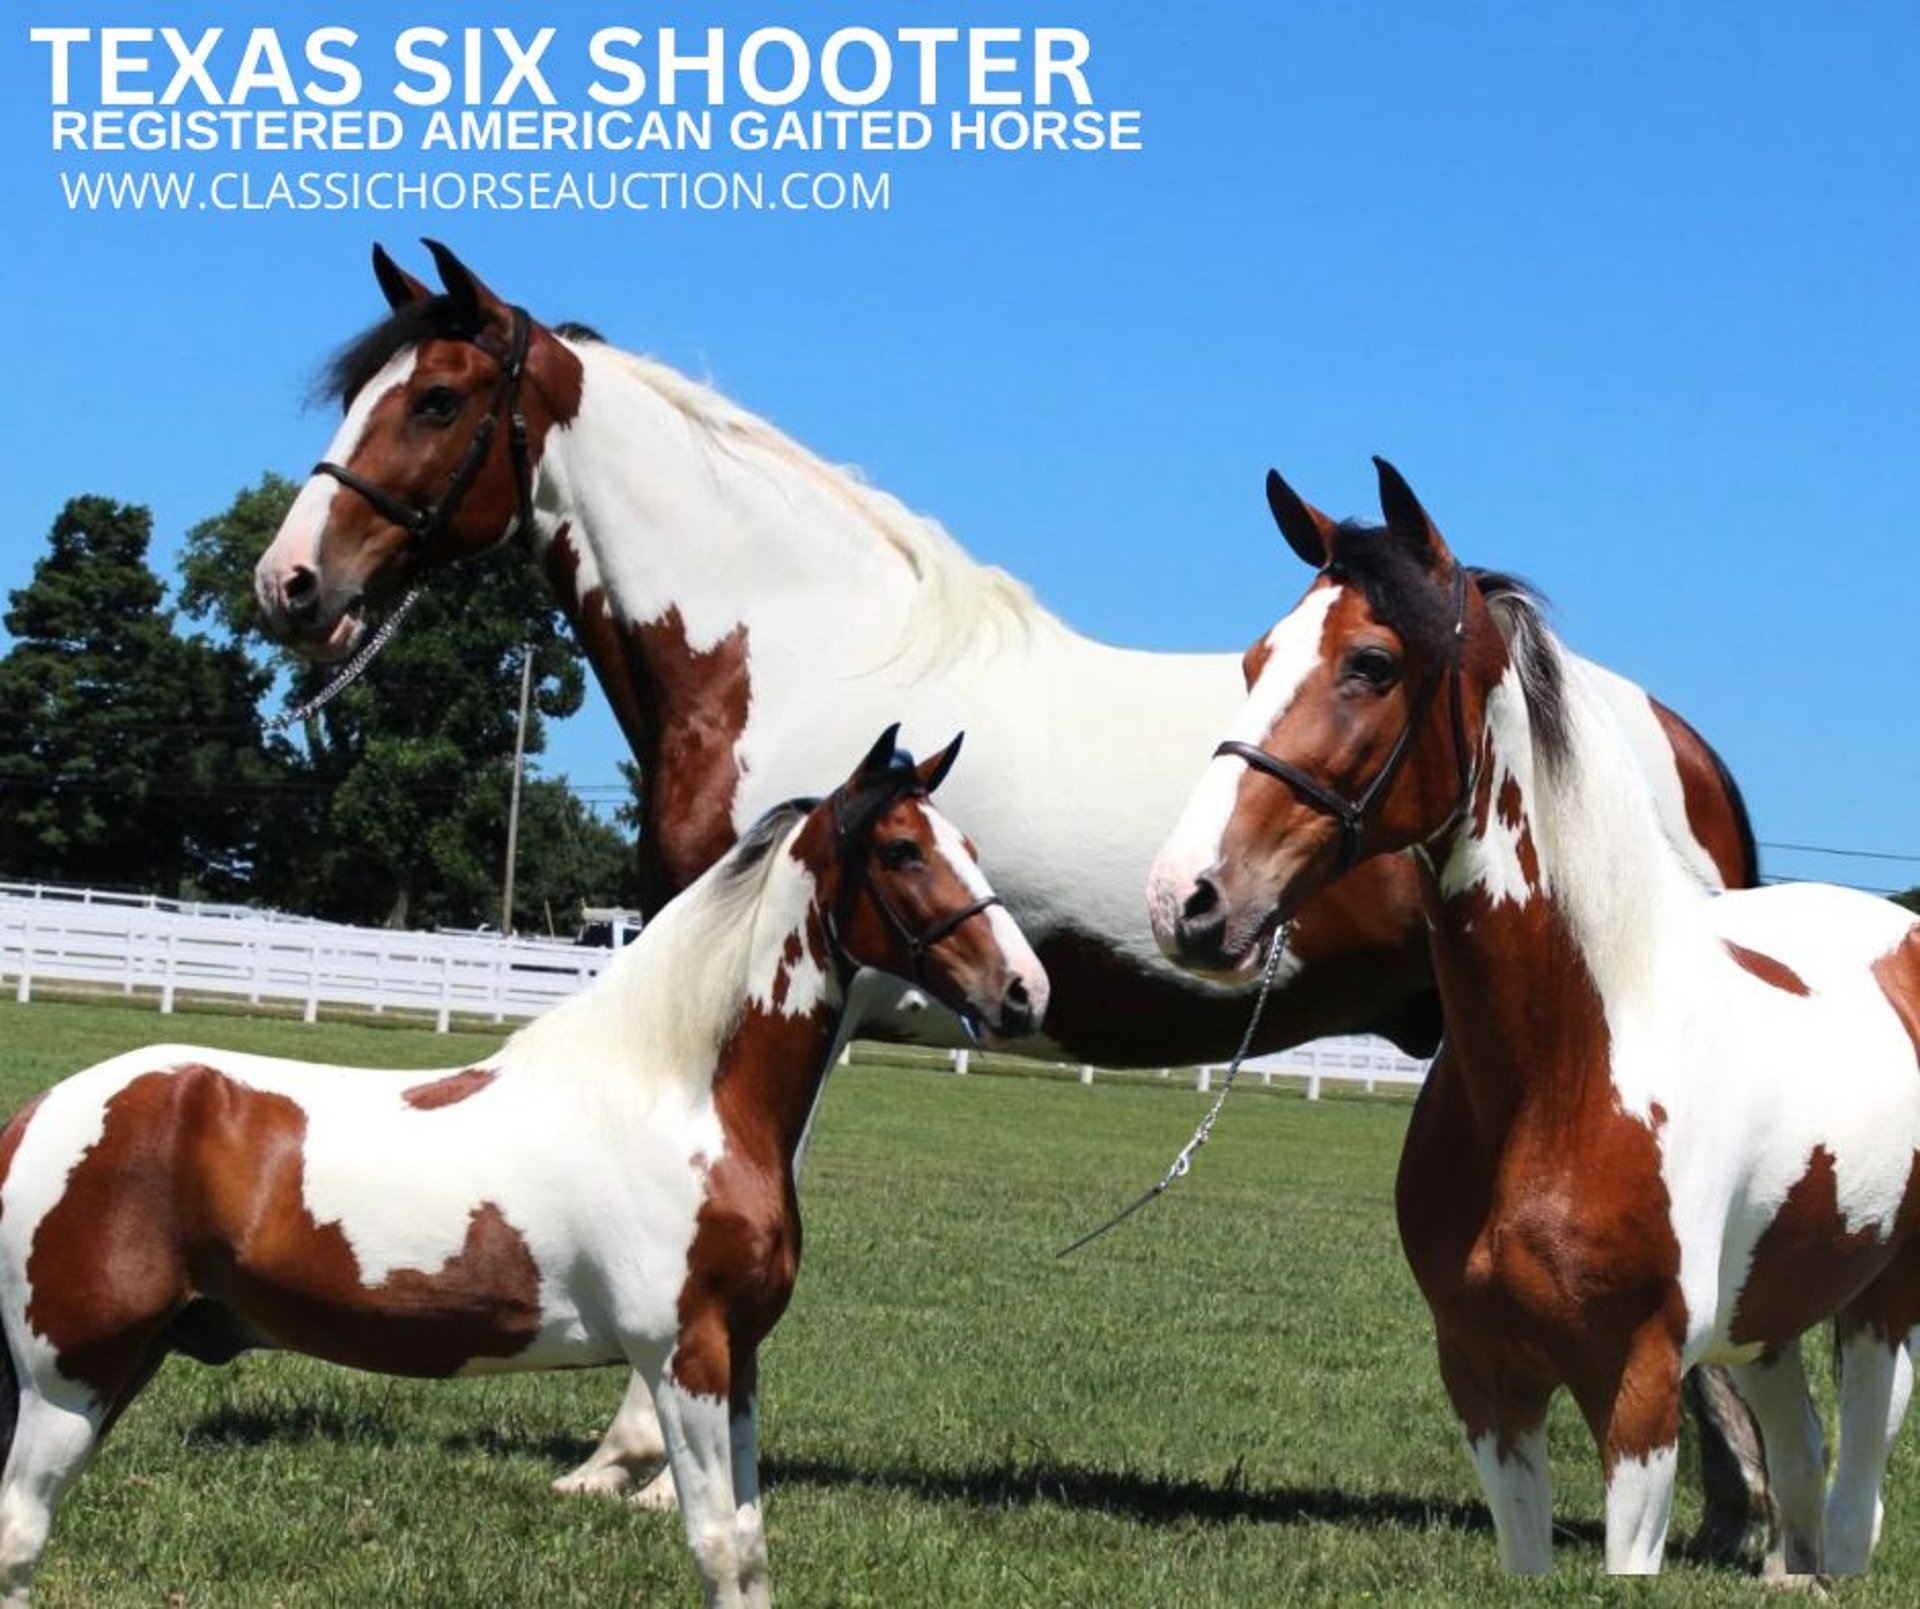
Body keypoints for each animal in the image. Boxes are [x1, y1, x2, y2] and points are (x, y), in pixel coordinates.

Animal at [0, 728, 1048, 1608]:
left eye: (972, 848)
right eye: (904, 851)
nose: (1025, 992)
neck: (677, 1093)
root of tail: (38, 1114)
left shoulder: (739, 1359)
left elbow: (749, 1549)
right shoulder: (686, 1356)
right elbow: (716, 1545)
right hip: (70, 1377)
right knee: (19, 1533)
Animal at [1148, 458, 1920, 1575]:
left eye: (1372, 663)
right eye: (1257, 658)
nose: (1187, 899)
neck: (1573, 1065)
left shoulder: (1636, 1393)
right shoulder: (1486, 1379)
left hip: (1883, 1307)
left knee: (1857, 1489)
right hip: (1769, 1311)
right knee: (1801, 1456)